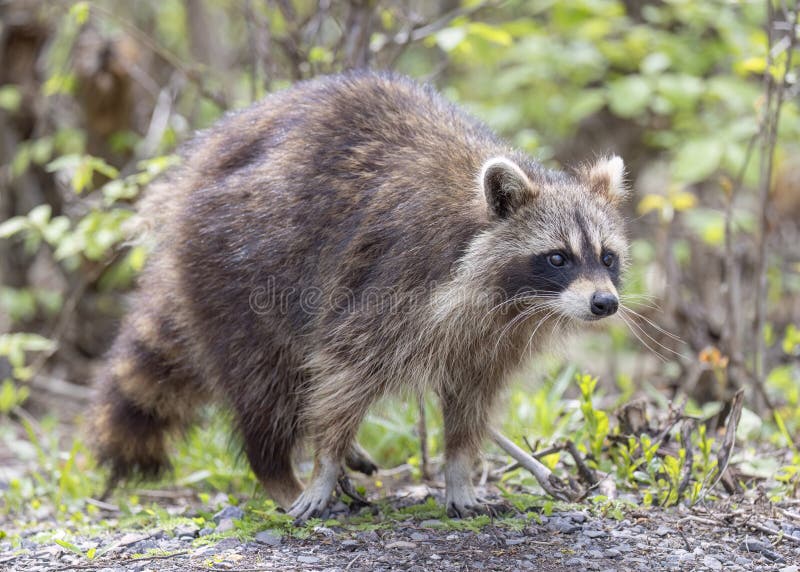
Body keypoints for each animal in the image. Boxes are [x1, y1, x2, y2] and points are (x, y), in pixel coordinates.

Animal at [90, 71, 628, 520]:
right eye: (557, 258)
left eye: (607, 258)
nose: (605, 304)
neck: (512, 298)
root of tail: (187, 181)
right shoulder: (395, 282)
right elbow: (345, 369)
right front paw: (324, 465)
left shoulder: (493, 336)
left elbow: (470, 397)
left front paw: (458, 471)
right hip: (234, 271)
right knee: (266, 381)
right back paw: (277, 471)